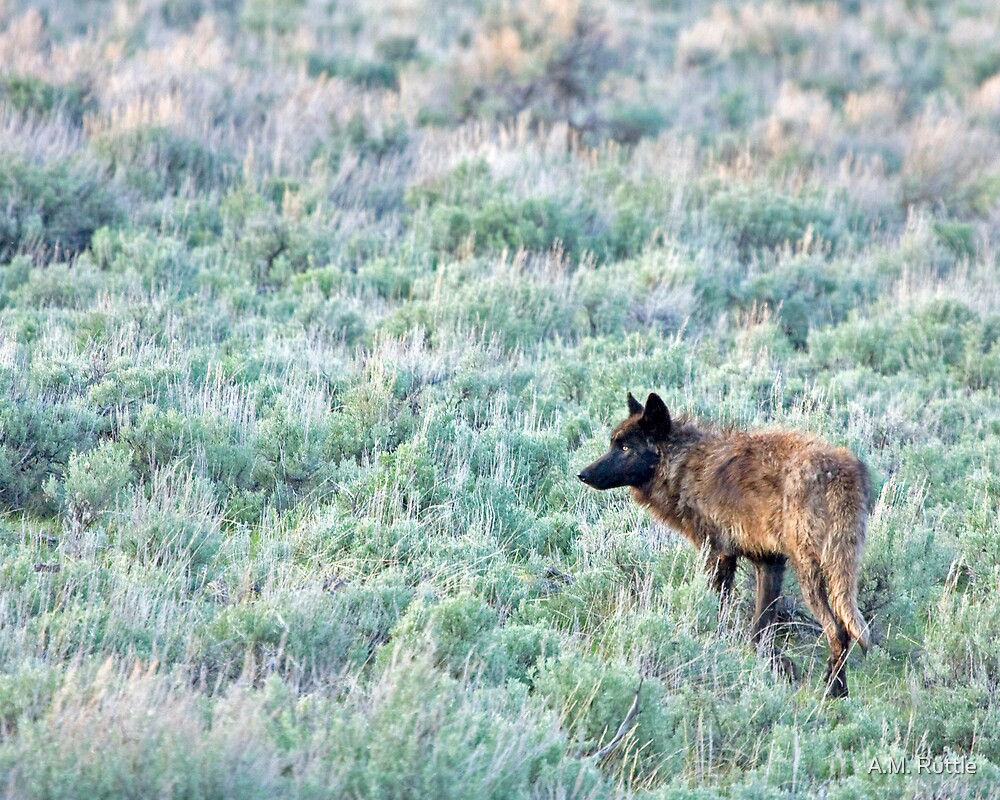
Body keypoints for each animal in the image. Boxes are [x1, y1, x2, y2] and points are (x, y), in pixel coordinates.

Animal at [578, 392, 871, 698]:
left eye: (624, 447)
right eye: (613, 444)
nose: (582, 475)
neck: (685, 464)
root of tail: (843, 472)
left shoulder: (718, 554)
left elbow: (716, 610)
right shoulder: (769, 561)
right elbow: (760, 629)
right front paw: (778, 667)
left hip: (811, 576)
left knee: (838, 631)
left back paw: (832, 691)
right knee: (844, 631)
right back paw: (839, 690)